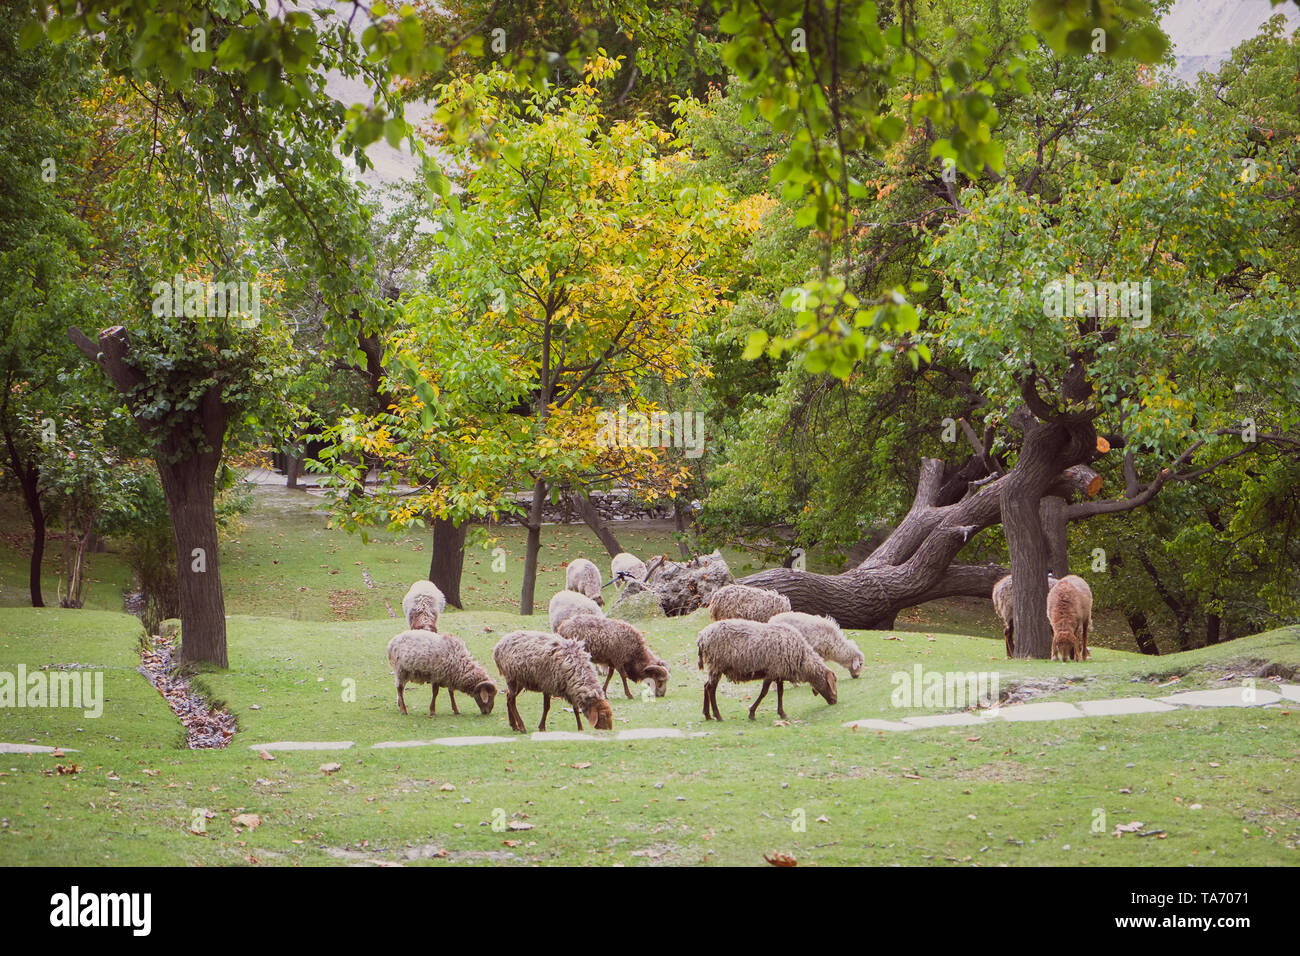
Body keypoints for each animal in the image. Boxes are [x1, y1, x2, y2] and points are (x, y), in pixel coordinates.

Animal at [696, 619, 837, 721]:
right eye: (831, 683)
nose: (835, 701)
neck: (802, 658)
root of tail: (702, 637)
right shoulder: (772, 671)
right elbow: (764, 692)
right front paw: (752, 713)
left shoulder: (779, 672)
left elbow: (780, 692)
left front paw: (782, 713)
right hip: (717, 664)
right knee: (711, 688)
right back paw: (718, 716)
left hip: (714, 666)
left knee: (706, 685)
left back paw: (707, 715)